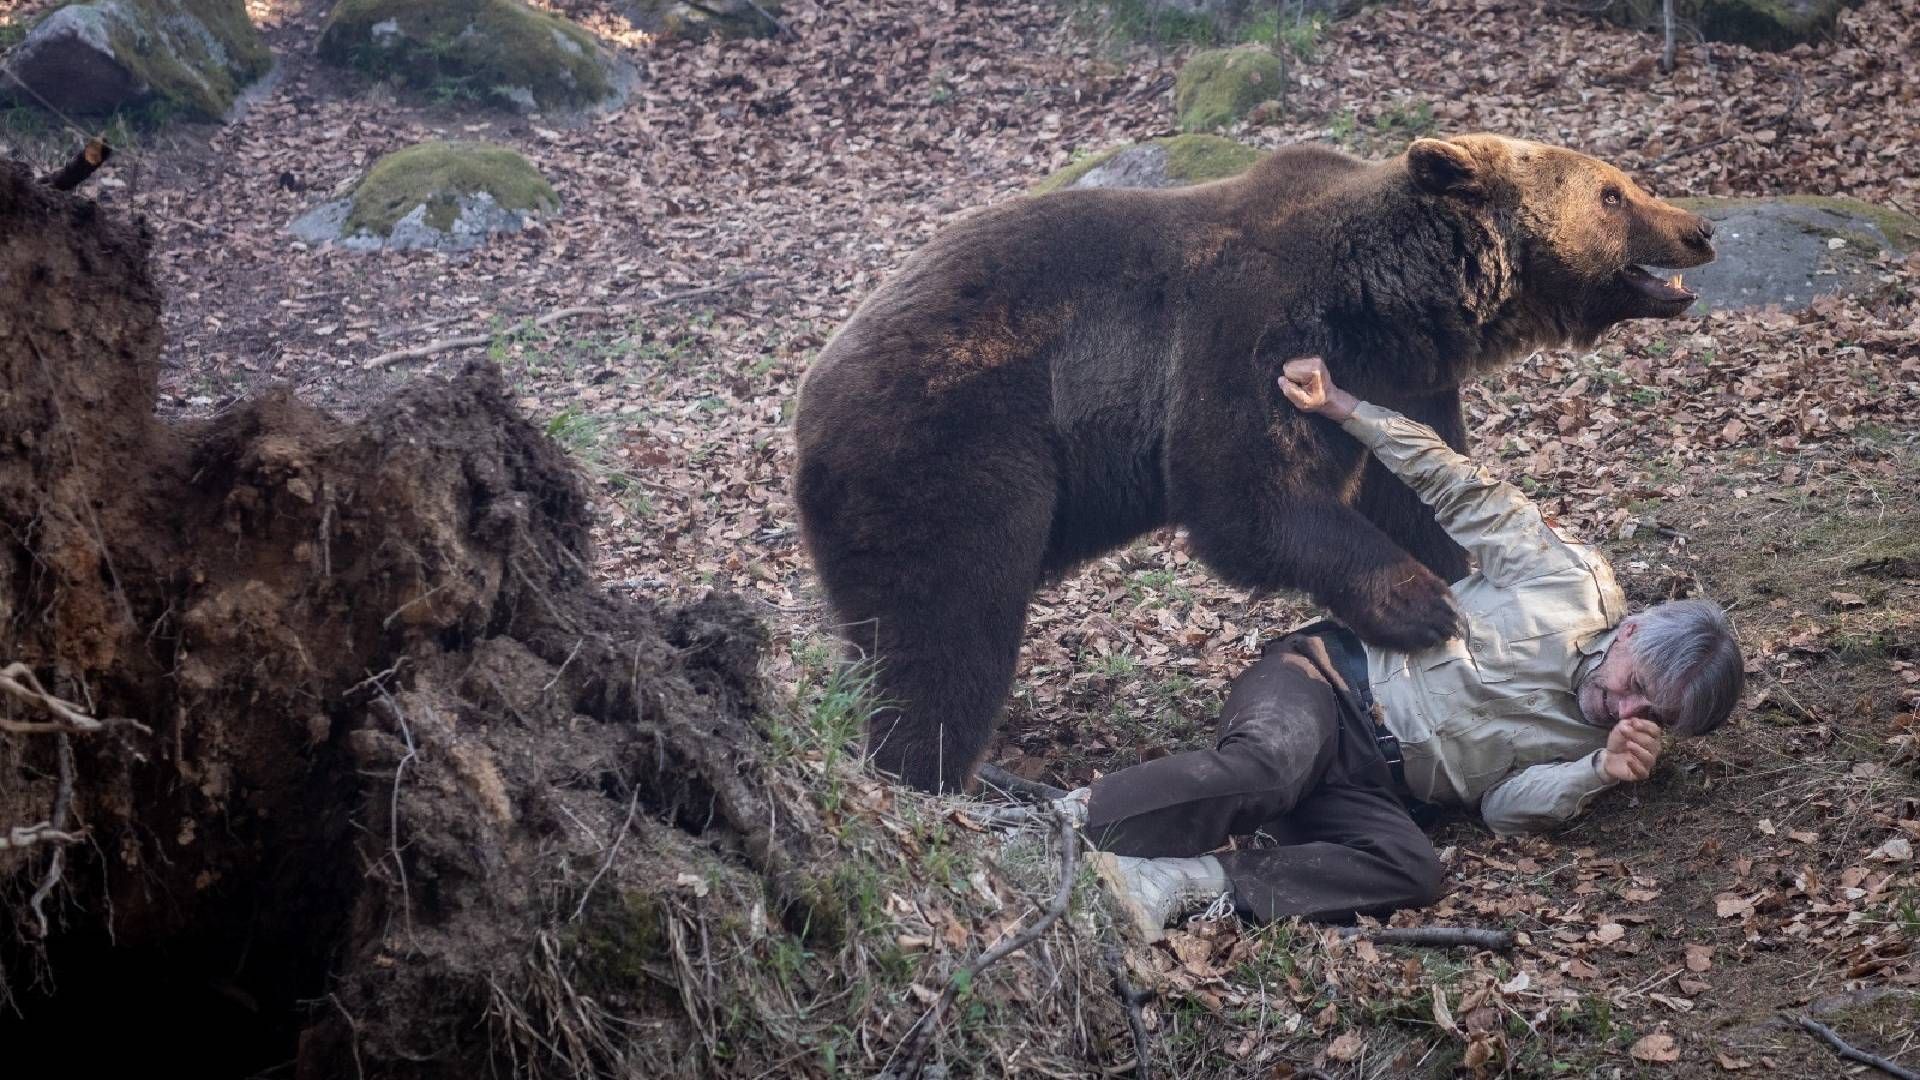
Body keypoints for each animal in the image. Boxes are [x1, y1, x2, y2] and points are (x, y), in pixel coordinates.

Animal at [793, 134, 1717, 793]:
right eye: (1612, 191)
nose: (1699, 228)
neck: (1383, 300)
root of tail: (810, 394)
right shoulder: (1247, 330)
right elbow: (1248, 497)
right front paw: (1422, 606)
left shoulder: (1405, 378)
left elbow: (1416, 486)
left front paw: (1459, 574)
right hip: (953, 445)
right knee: (949, 625)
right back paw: (930, 772)